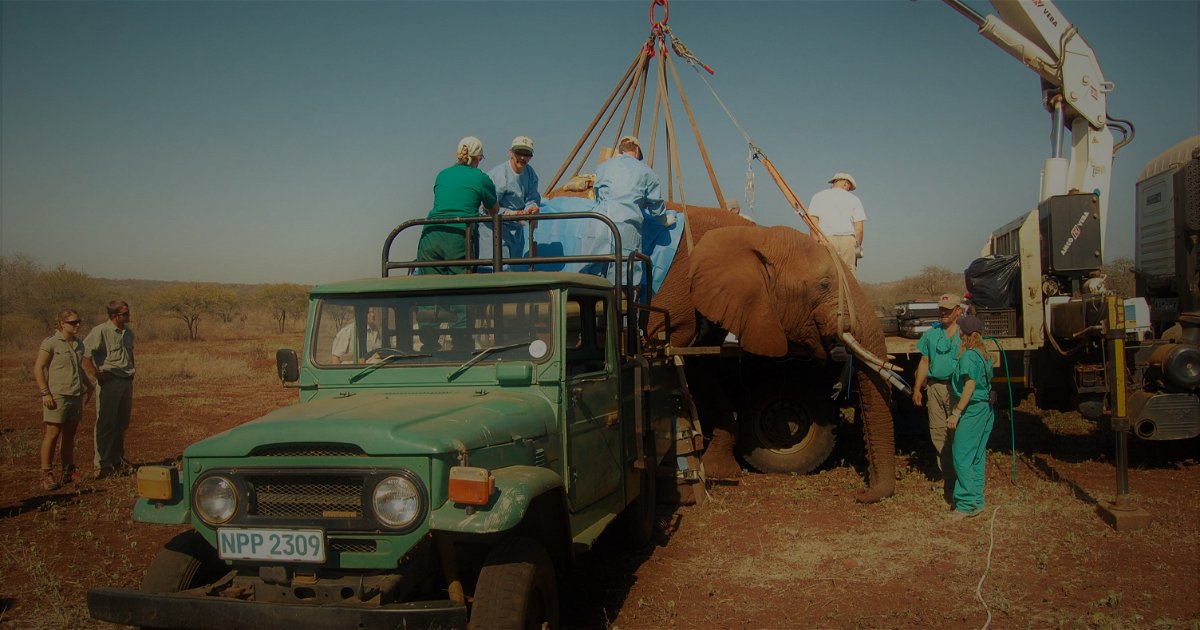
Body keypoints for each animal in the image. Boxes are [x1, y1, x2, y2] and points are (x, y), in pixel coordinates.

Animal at [645, 208, 896, 504]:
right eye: (824, 285)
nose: (861, 492)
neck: (753, 234)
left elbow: (700, 366)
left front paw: (720, 471)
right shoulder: (673, 297)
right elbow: (662, 368)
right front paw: (684, 492)